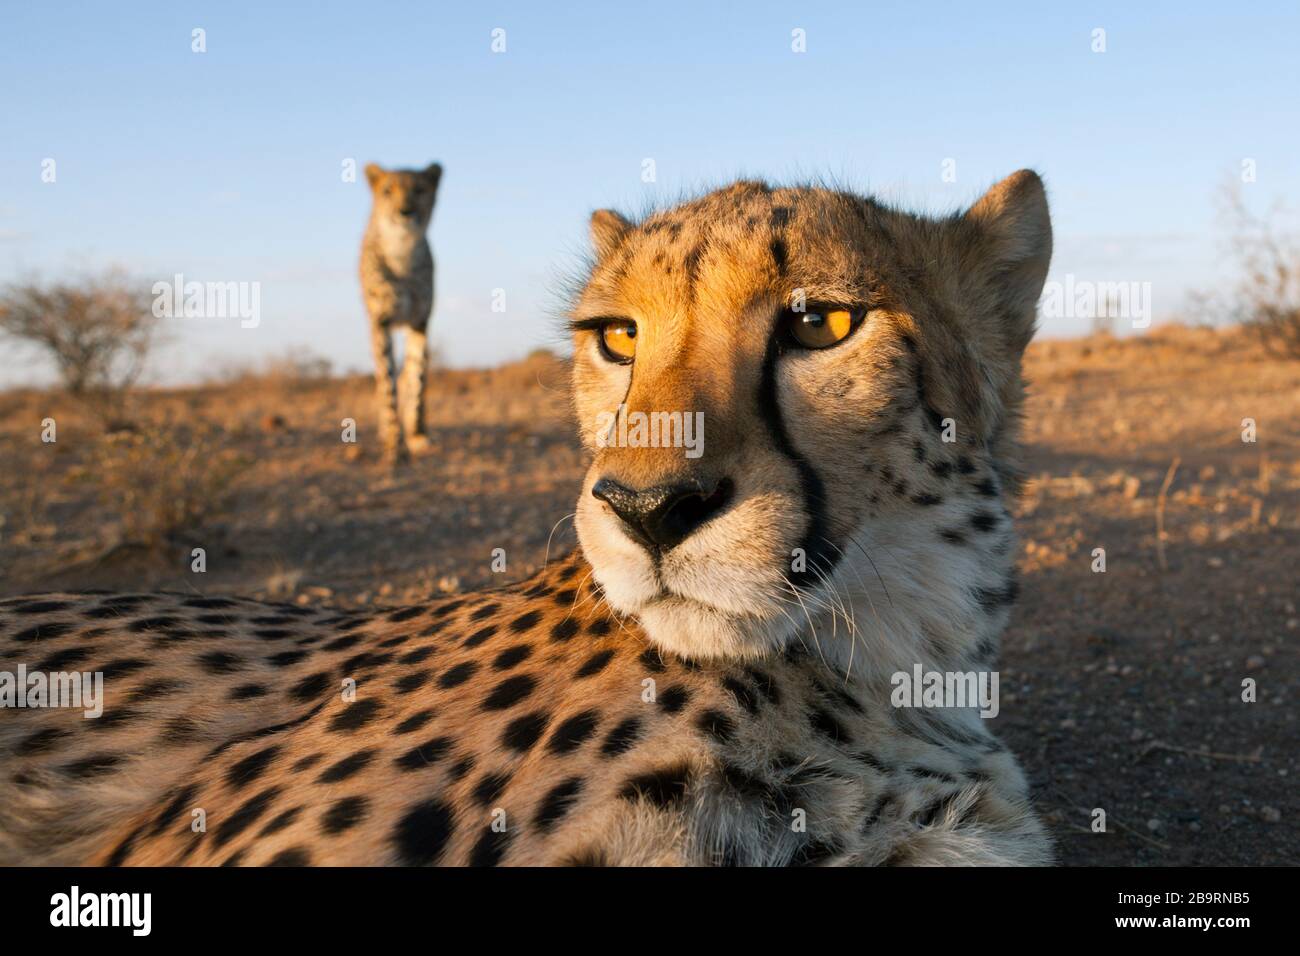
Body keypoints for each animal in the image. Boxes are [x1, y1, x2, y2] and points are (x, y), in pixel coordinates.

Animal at [359, 161, 441, 463]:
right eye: (387, 191)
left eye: (419, 190)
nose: (405, 212)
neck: (402, 251)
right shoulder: (381, 323)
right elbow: (388, 386)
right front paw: (395, 442)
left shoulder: (420, 322)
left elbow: (416, 380)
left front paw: (416, 435)